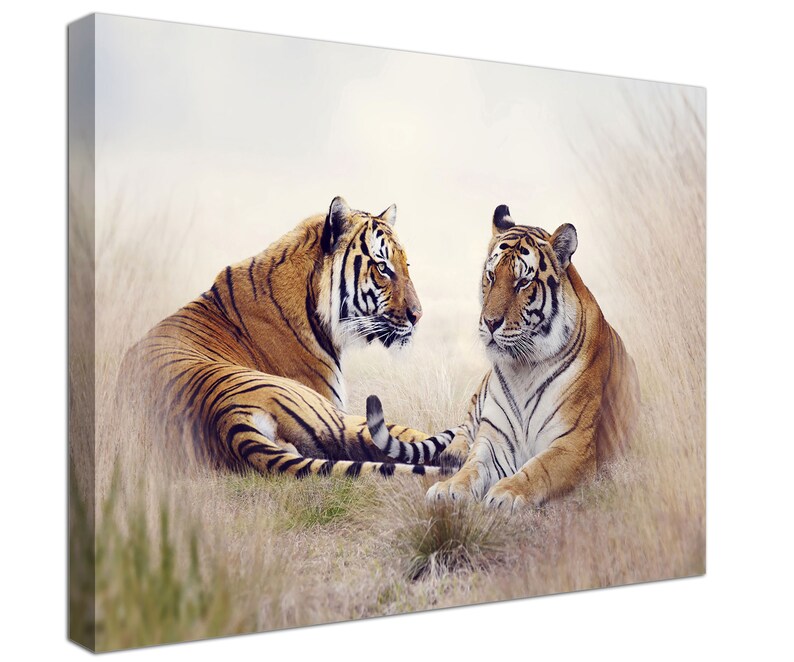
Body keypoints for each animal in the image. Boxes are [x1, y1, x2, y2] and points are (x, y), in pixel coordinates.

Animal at [366, 204, 640, 510]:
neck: (524, 367)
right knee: (463, 430)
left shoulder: (573, 444)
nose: (490, 322)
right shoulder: (495, 436)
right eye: (491, 276)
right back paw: (453, 454)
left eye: (523, 282)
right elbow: (473, 466)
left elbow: (538, 469)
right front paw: (449, 488)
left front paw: (506, 493)